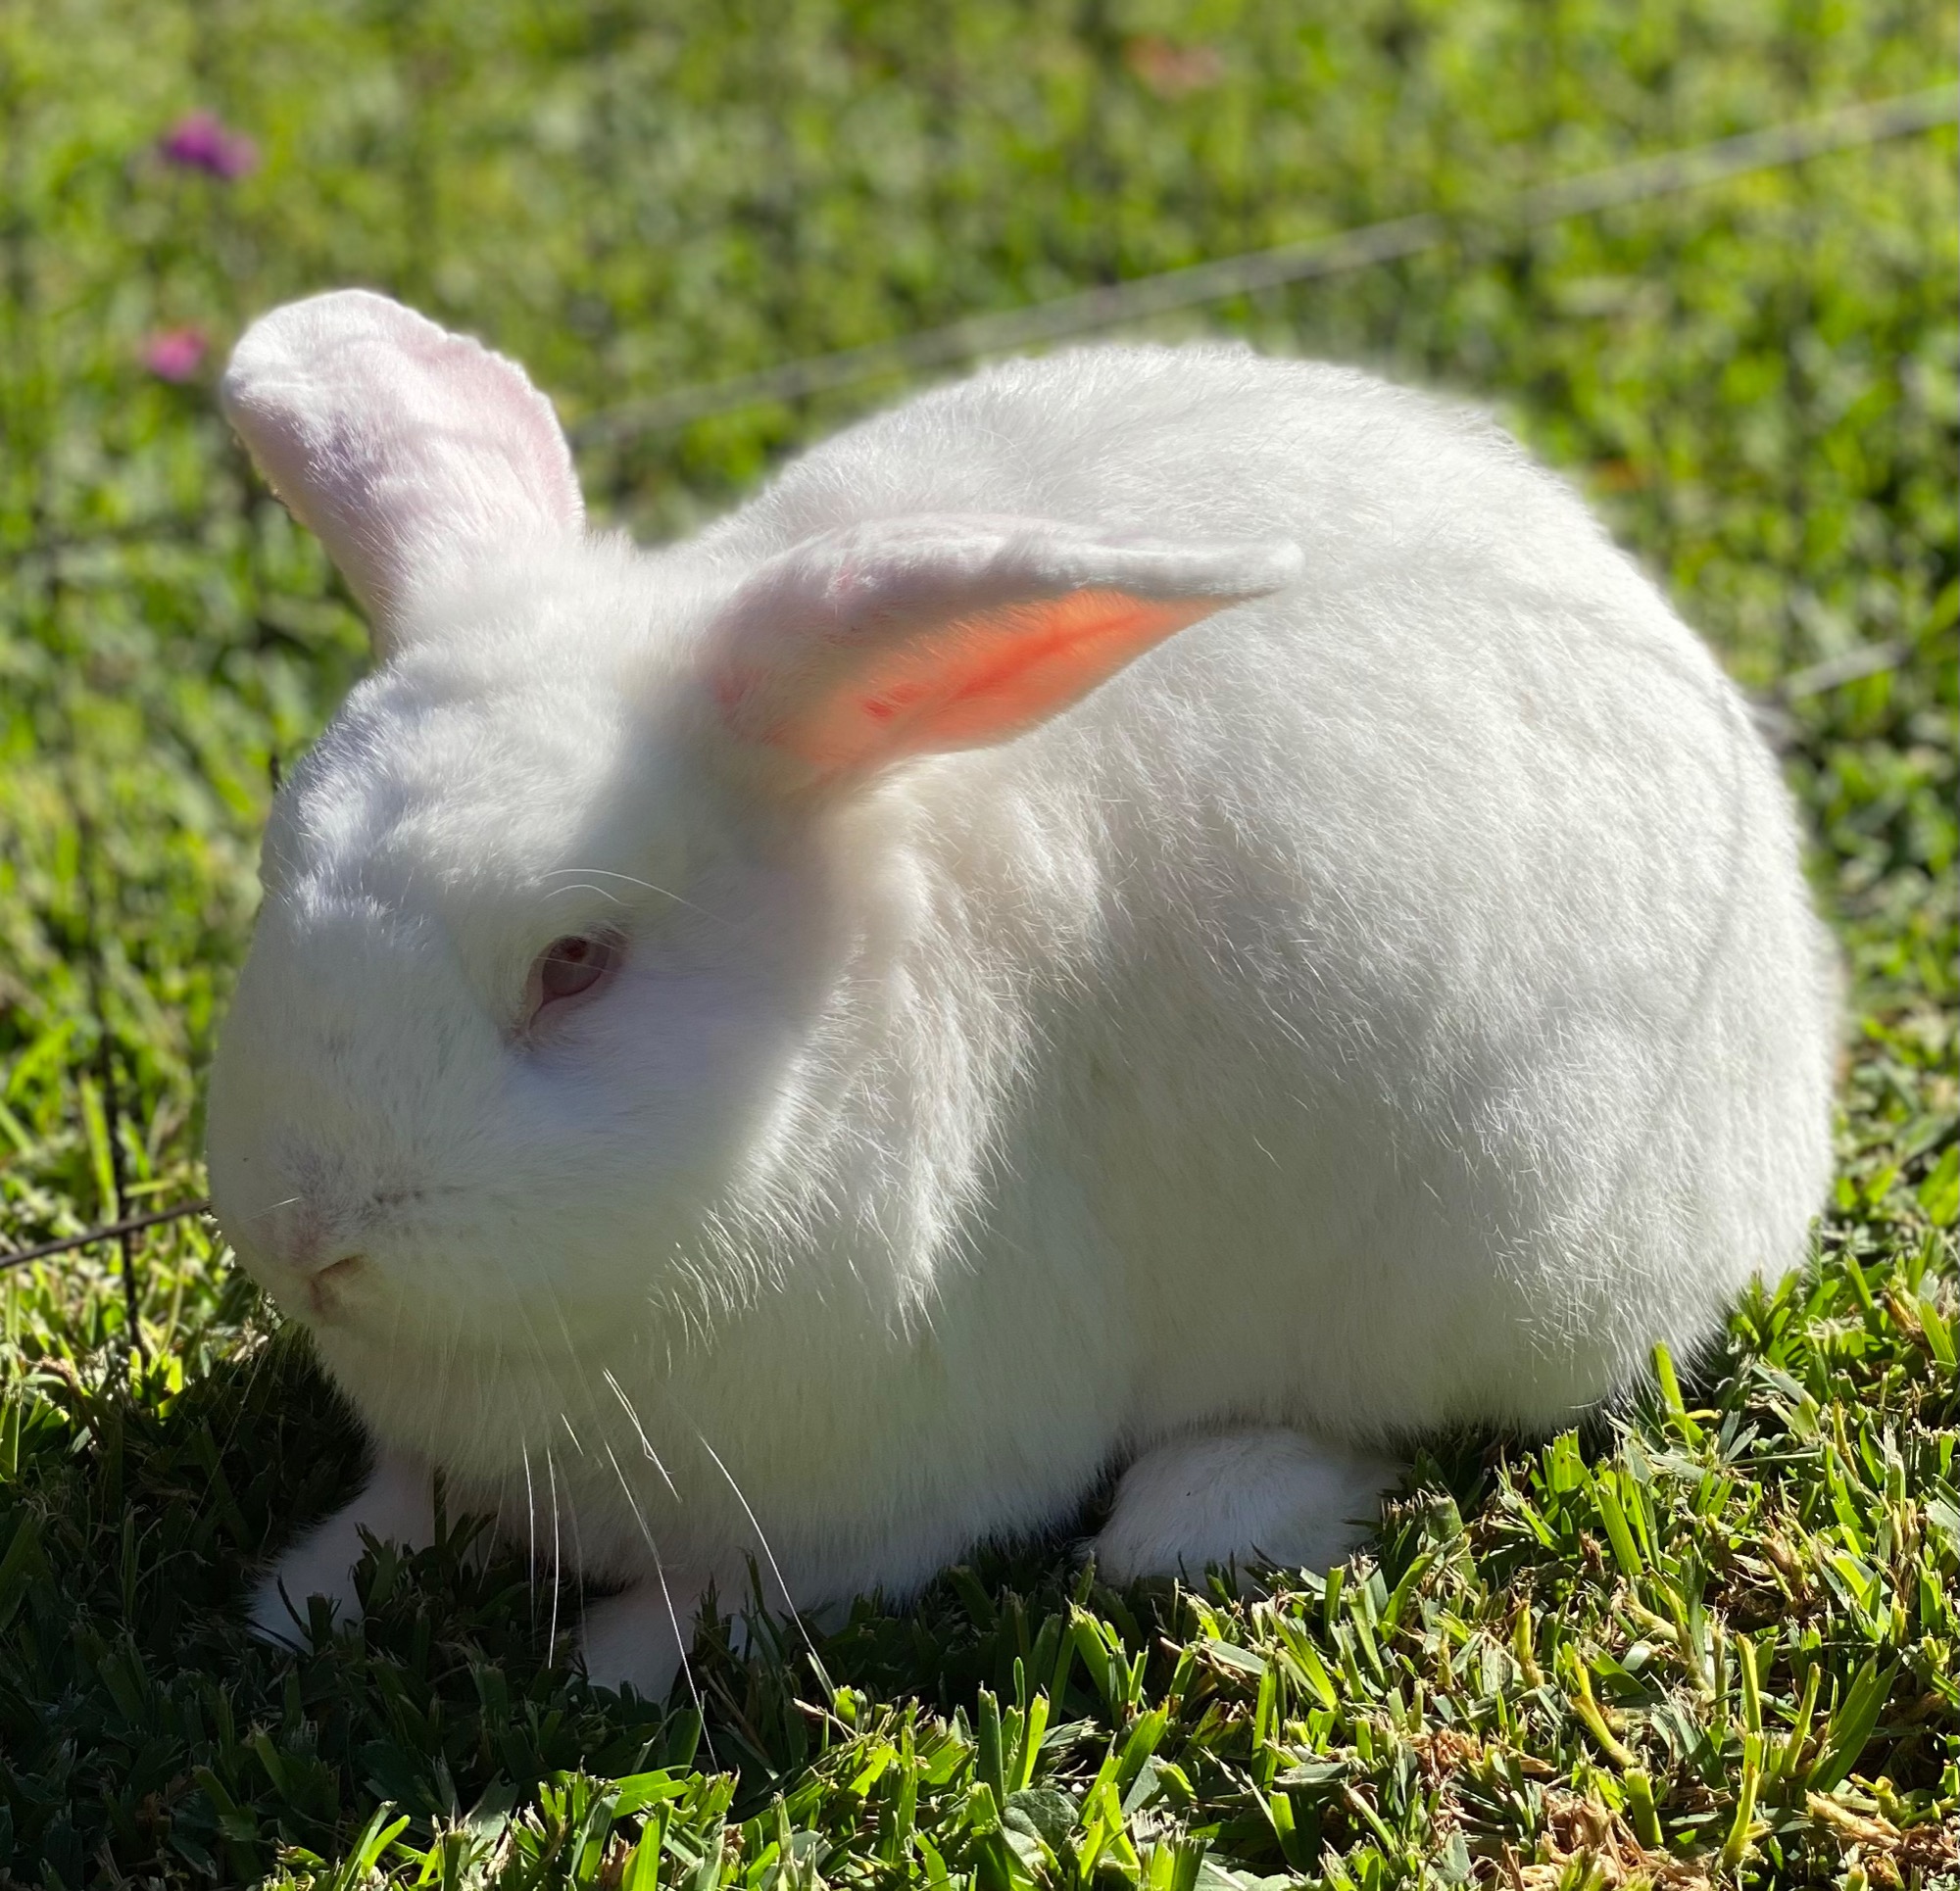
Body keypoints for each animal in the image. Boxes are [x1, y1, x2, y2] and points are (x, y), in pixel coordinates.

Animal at [208, 289, 1835, 1697]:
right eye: (277, 857)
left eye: (575, 961)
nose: (306, 1236)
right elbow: (402, 1507)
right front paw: (298, 1596)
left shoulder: (903, 1487)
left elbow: (730, 1591)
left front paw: (605, 1665)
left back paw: (1197, 1511)